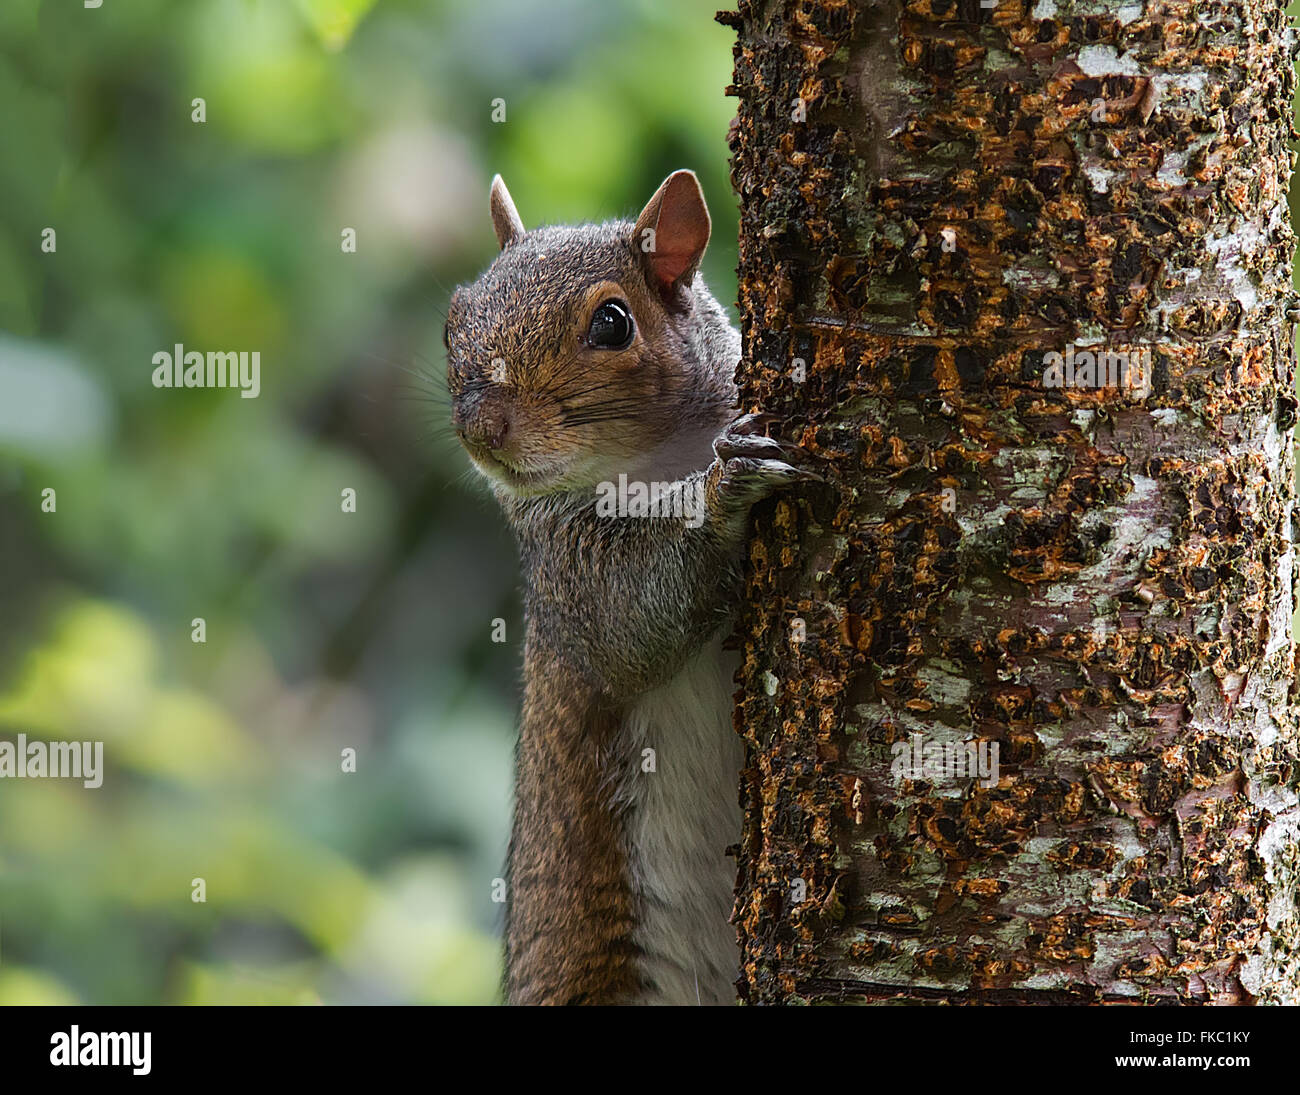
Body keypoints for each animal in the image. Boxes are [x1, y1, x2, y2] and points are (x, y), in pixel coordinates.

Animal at [444, 170, 810, 1005]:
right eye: (452, 323)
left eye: (612, 324)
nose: (482, 426)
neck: (657, 465)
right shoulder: (570, 575)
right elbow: (630, 626)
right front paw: (723, 493)